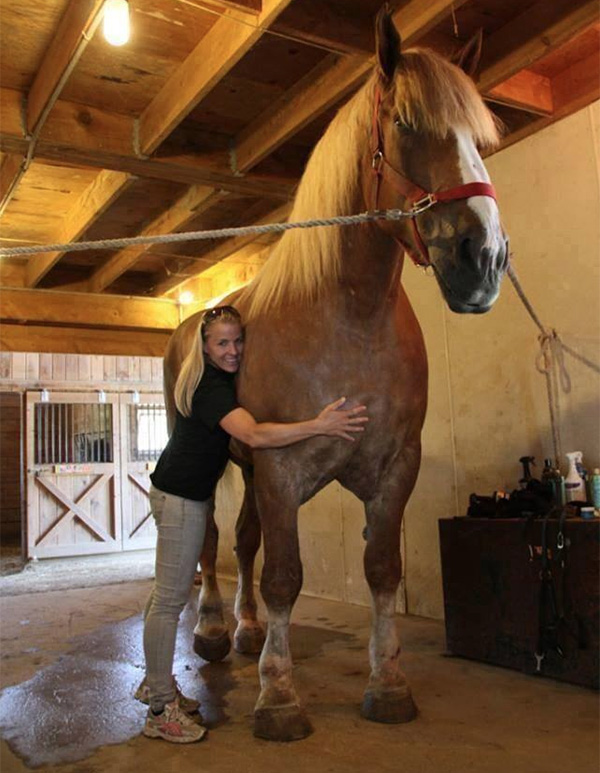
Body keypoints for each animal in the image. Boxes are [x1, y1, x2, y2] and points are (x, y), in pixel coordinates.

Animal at [163, 7, 508, 742]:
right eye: (405, 123)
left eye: (482, 137)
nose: (485, 259)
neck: (349, 317)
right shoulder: (282, 467)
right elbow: (286, 576)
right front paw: (278, 697)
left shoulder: (393, 467)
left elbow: (381, 568)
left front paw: (388, 683)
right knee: (210, 541)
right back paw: (212, 632)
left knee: (242, 541)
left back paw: (246, 631)